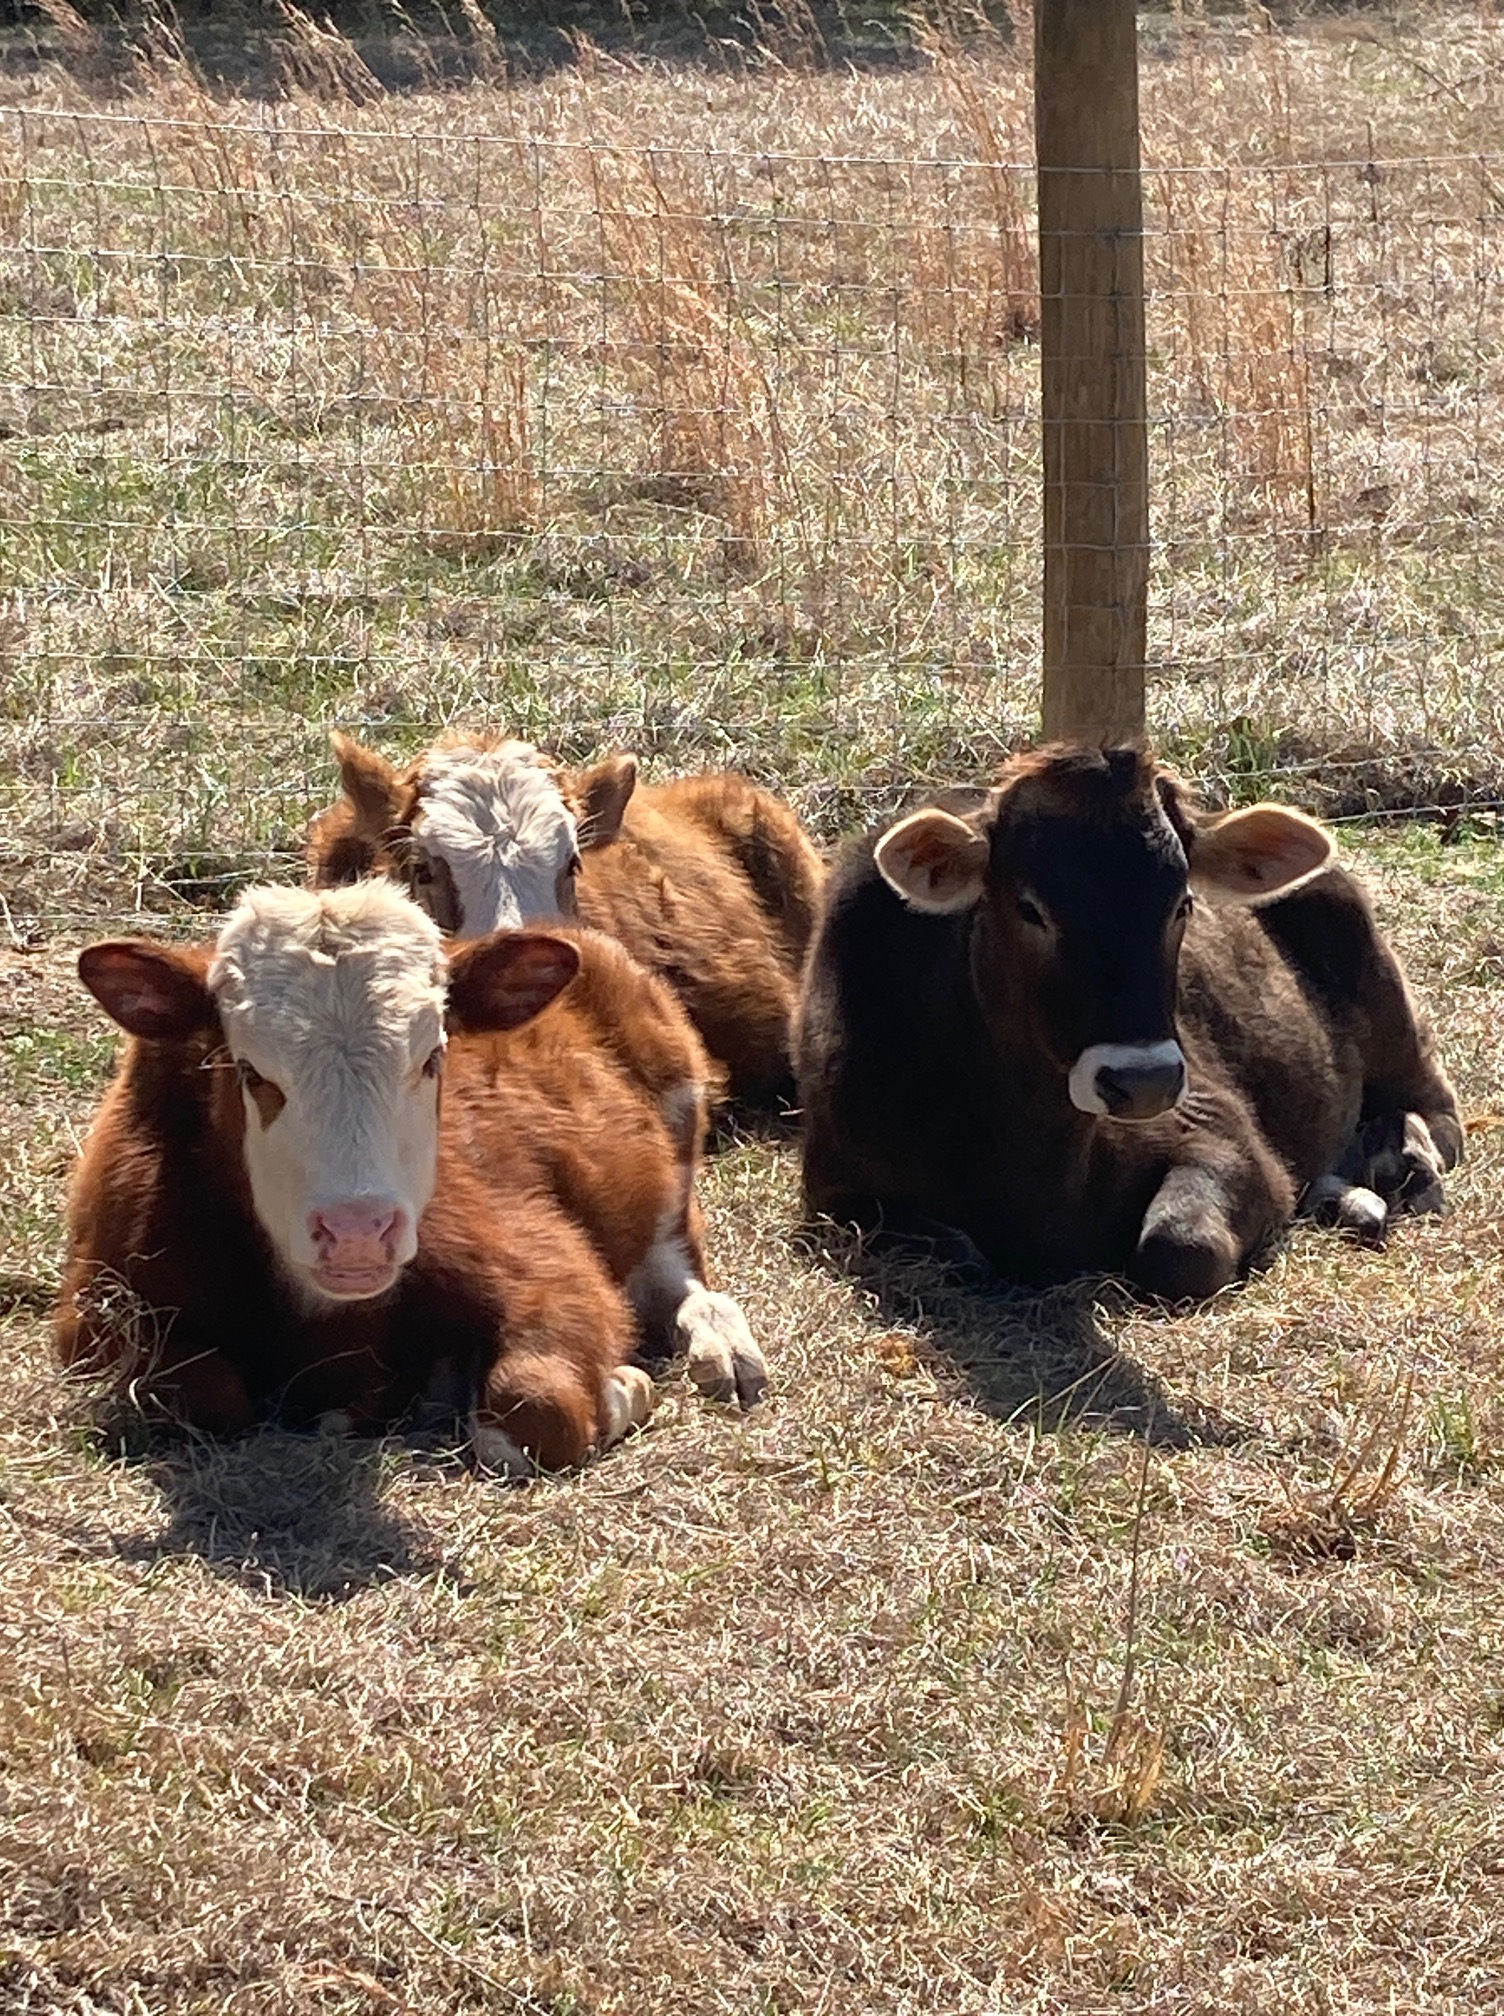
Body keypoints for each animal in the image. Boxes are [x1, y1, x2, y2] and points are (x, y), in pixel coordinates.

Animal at [55, 880, 766, 1472]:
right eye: (250, 1072)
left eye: (432, 1058)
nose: (357, 1232)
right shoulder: (94, 1313)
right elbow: (200, 1394)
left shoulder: (549, 1265)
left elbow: (535, 1408)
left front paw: (621, 1386)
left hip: (678, 1132)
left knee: (681, 1274)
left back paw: (722, 1349)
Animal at [796, 744, 1462, 1301]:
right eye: (1031, 908)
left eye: (1183, 903)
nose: (1143, 1082)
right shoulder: (835, 1193)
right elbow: (958, 1255)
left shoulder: (1222, 1129)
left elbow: (1179, 1246)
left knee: (1437, 1108)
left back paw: (1399, 1158)